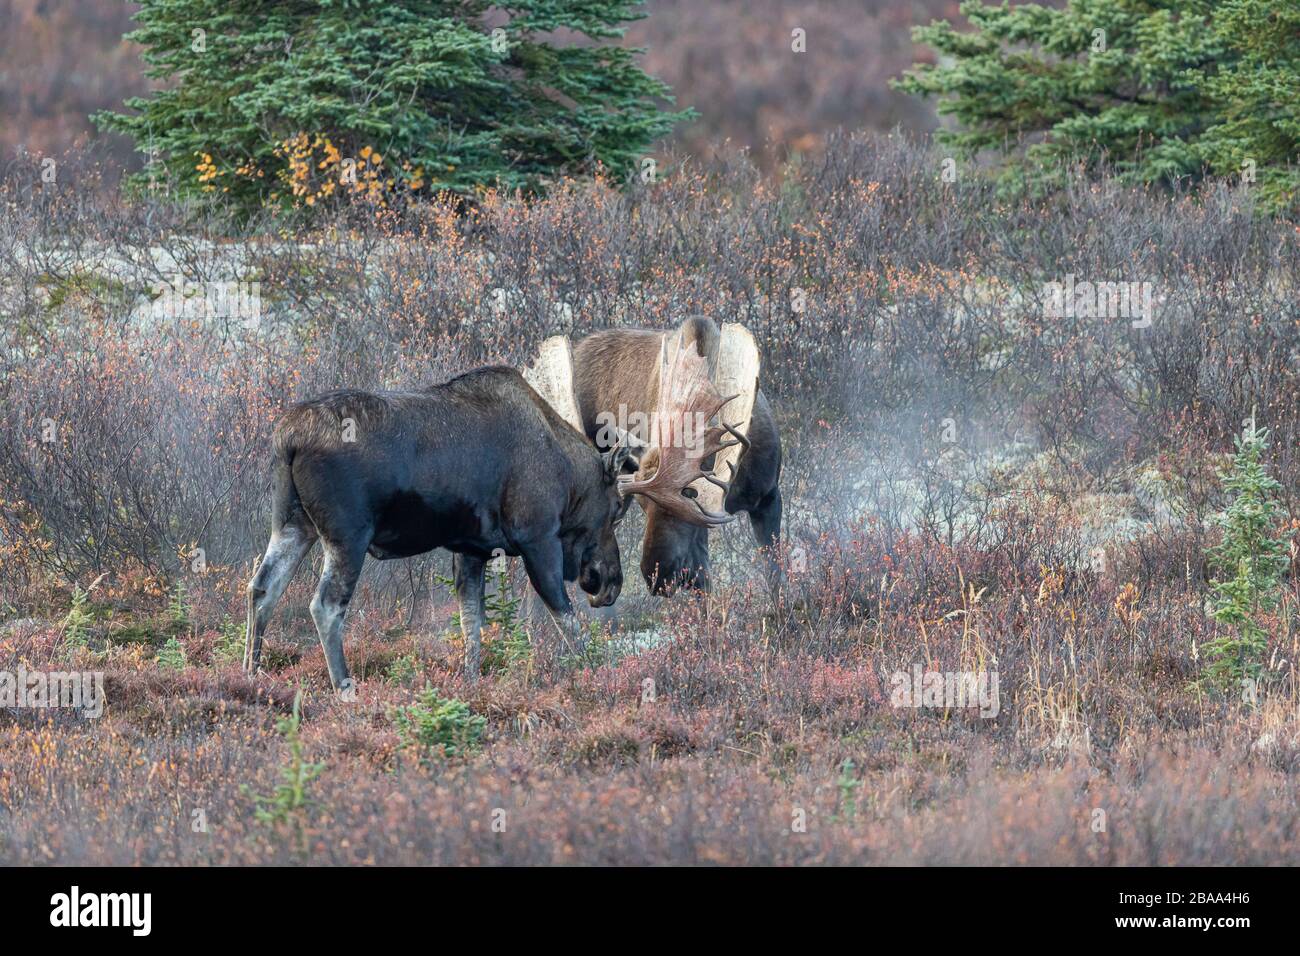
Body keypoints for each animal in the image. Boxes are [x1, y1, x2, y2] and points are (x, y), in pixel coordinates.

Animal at [243, 349, 738, 689]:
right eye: (617, 511)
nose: (609, 582)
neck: (568, 473)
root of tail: (288, 439)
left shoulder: (471, 549)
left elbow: (472, 625)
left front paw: (470, 681)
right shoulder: (538, 538)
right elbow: (566, 620)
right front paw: (594, 671)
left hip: (292, 524)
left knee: (262, 588)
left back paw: (250, 670)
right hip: (347, 535)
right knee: (324, 604)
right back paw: (343, 685)